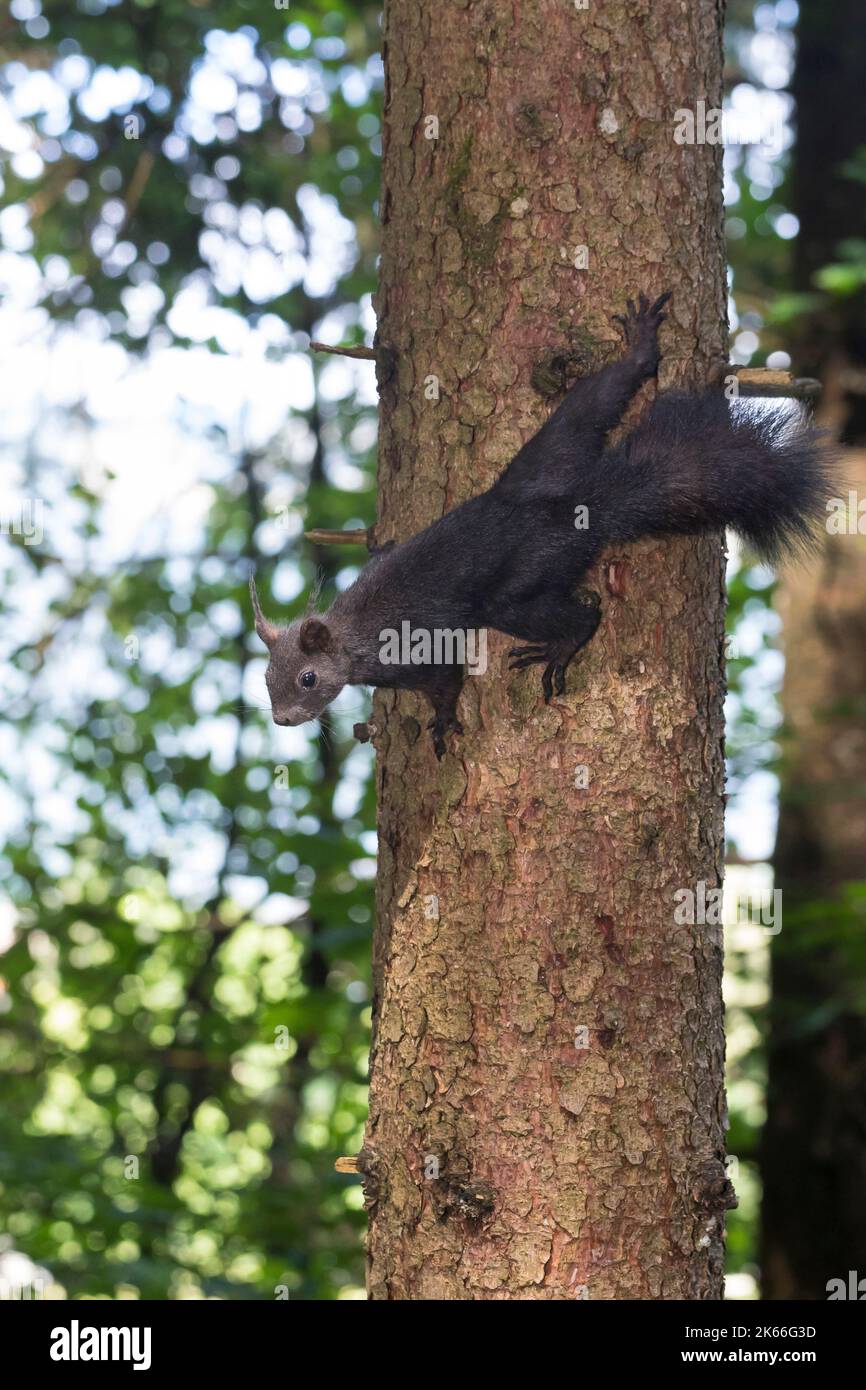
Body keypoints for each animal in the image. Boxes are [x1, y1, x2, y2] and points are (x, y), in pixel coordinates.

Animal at [250, 292, 832, 757]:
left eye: (307, 678)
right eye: (265, 677)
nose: (281, 718)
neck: (350, 632)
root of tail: (577, 507)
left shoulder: (409, 652)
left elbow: (445, 682)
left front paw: (441, 723)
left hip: (528, 574)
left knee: (576, 614)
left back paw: (559, 647)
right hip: (552, 453)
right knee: (596, 399)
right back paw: (639, 348)